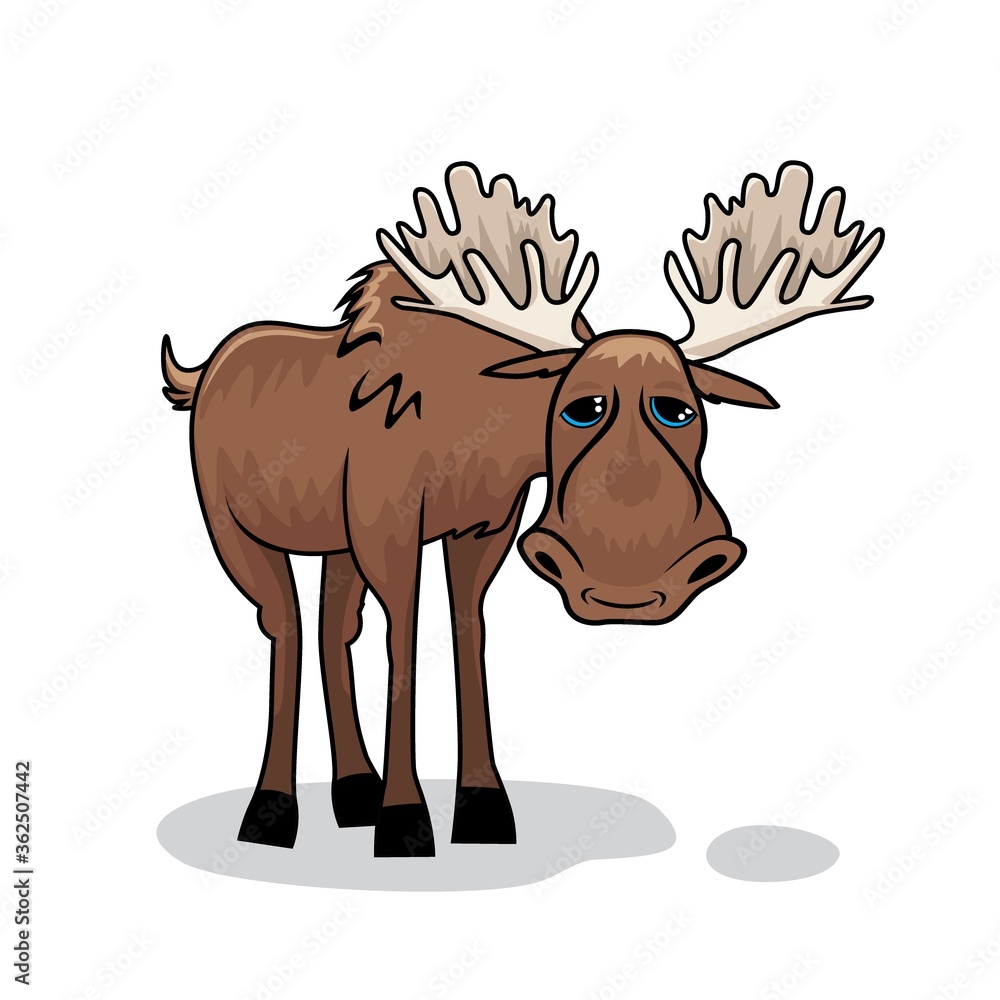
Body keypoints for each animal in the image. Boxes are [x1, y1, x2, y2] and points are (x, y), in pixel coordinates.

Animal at [162, 161, 882, 857]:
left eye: (680, 409)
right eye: (579, 406)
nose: (628, 585)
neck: (484, 432)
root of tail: (198, 372)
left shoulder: (485, 526)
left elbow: (467, 632)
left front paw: (481, 805)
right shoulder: (387, 524)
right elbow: (406, 640)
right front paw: (405, 817)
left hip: (335, 542)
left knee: (331, 630)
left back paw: (355, 790)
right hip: (234, 530)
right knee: (283, 626)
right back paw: (272, 810)